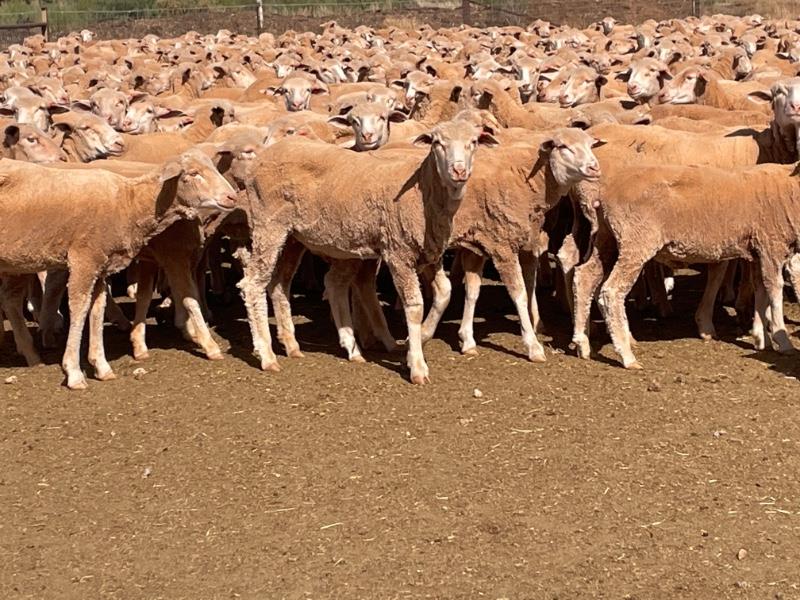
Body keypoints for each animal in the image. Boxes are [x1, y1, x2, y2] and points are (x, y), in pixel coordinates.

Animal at [0, 149, 237, 388]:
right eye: (194, 173)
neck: (128, 203)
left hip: (17, 262)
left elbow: (97, 309)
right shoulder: (85, 260)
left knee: (11, 300)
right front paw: (74, 372)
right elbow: (80, 310)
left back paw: (31, 354)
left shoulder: (101, 266)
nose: (232, 197)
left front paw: (101, 366)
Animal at [237, 119, 498, 384]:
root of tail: (263, 156)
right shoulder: (398, 252)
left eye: (473, 142)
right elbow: (414, 306)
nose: (459, 171)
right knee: (253, 285)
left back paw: (293, 345)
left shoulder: (429, 252)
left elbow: (445, 293)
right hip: (268, 225)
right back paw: (267, 355)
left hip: (293, 238)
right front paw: (417, 365)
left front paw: (420, 338)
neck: (424, 192)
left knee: (281, 284)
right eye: (437, 143)